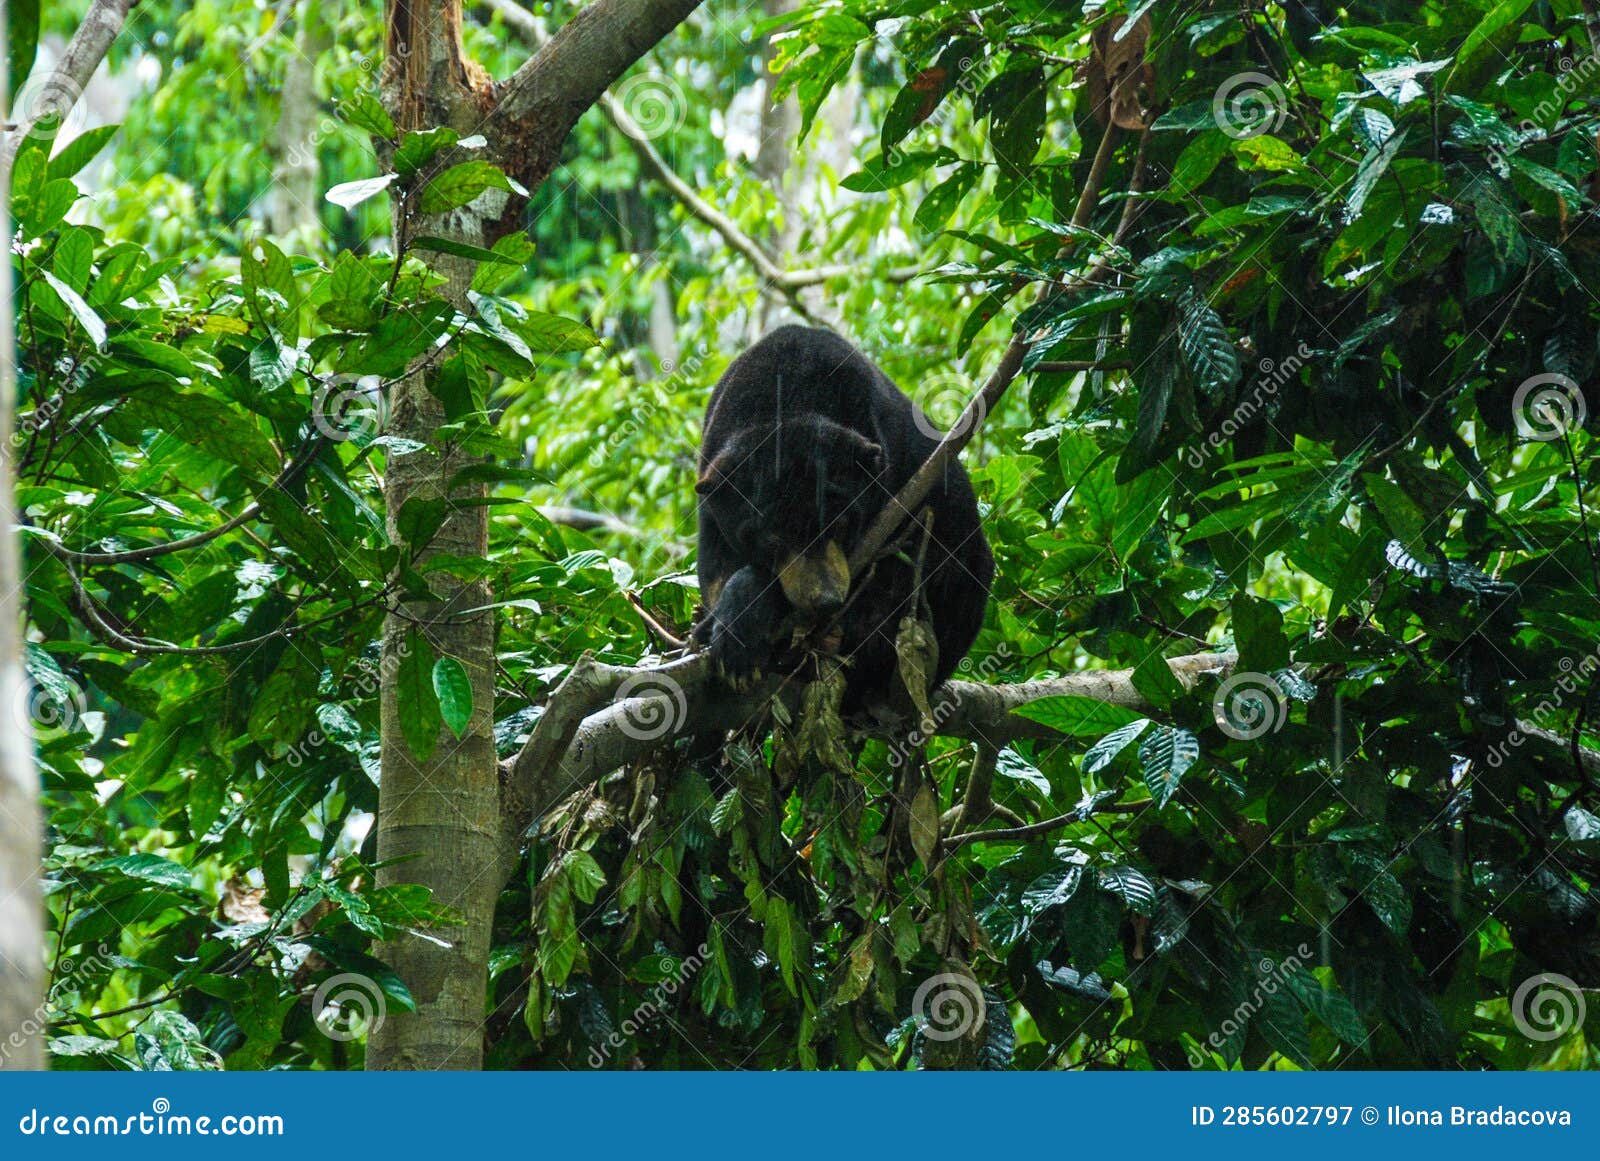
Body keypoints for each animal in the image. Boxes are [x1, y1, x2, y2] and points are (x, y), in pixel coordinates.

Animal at [693, 325, 993, 713]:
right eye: (770, 538)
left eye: (841, 523)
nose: (825, 598)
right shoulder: (713, 492)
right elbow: (716, 571)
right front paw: (733, 633)